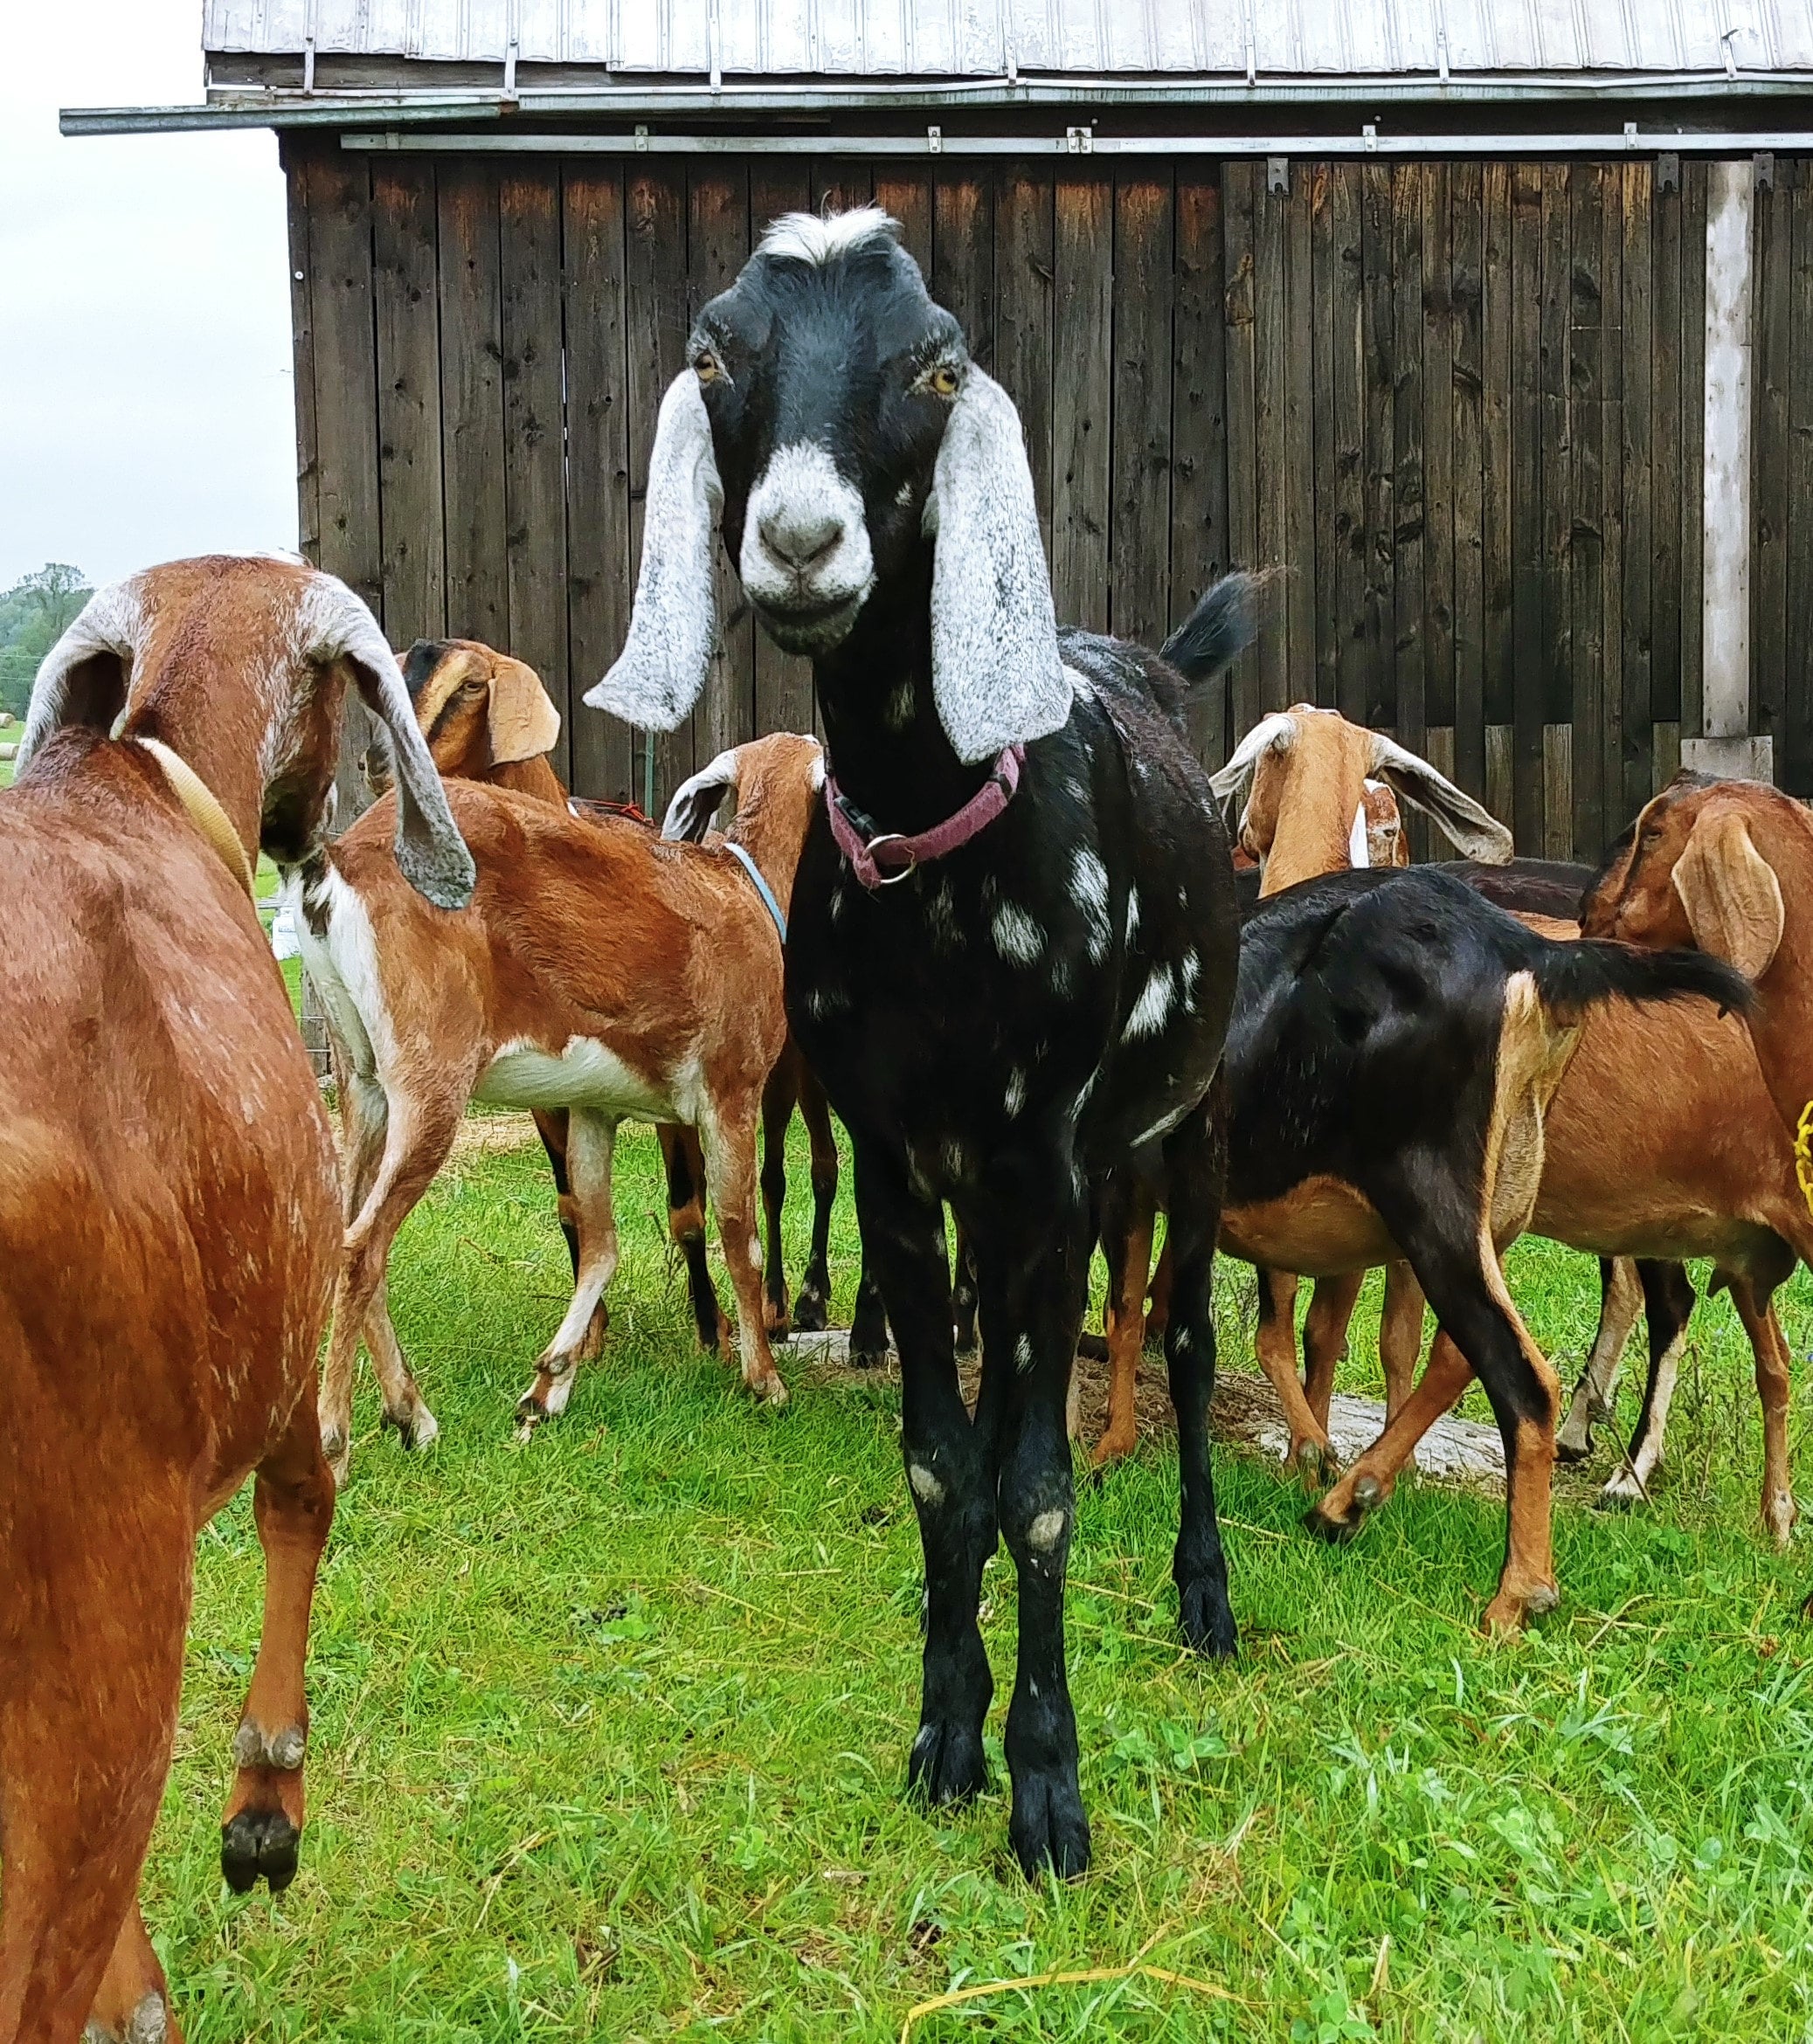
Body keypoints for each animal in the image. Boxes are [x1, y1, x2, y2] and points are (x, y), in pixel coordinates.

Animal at [0, 555, 472, 2044]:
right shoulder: (278, 1310)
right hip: (107, 1626)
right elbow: (309, 1484)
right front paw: (268, 1798)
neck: (138, 786)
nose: (314, 841)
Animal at [296, 731, 826, 1480]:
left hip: (362, 1081)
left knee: (345, 1230)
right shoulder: (730, 1091)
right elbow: (737, 1233)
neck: (746, 896)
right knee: (361, 1248)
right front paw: (765, 1381)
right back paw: (338, 1445)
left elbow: (600, 1243)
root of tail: (343, 860)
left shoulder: (594, 1108)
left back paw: (413, 1417)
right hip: (430, 1079)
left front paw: (547, 1388)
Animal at [585, 205, 1250, 1878]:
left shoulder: (1051, 1168)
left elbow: (1042, 1489)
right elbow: (949, 1466)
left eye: (936, 367)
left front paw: (1049, 1790)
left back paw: (1206, 1595)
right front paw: (949, 1732)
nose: (802, 542)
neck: (945, 866)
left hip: (1186, 1131)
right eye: (715, 353)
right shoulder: (898, 1164)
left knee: (1191, 1347)